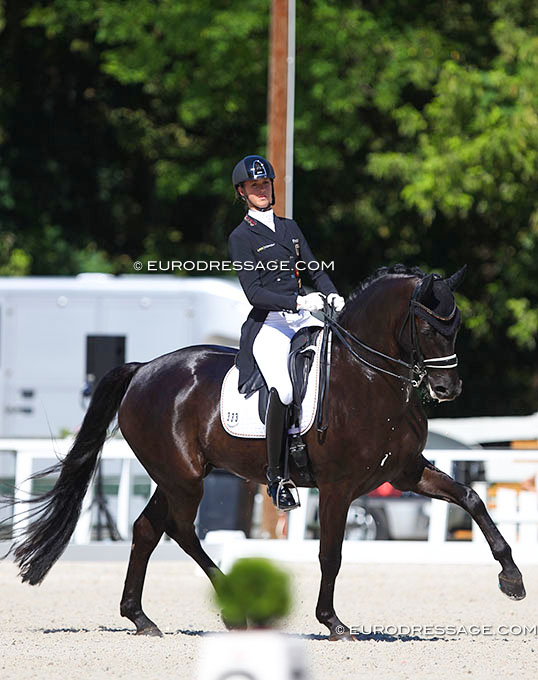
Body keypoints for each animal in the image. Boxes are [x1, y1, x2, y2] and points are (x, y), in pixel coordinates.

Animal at [4, 264, 525, 640]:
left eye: (456, 325)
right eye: (426, 326)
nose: (447, 389)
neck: (368, 379)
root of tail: (143, 368)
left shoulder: (406, 472)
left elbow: (471, 498)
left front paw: (512, 579)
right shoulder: (337, 487)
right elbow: (331, 553)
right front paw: (333, 623)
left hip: (175, 477)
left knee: (148, 529)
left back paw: (141, 618)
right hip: (183, 478)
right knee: (179, 529)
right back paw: (233, 609)